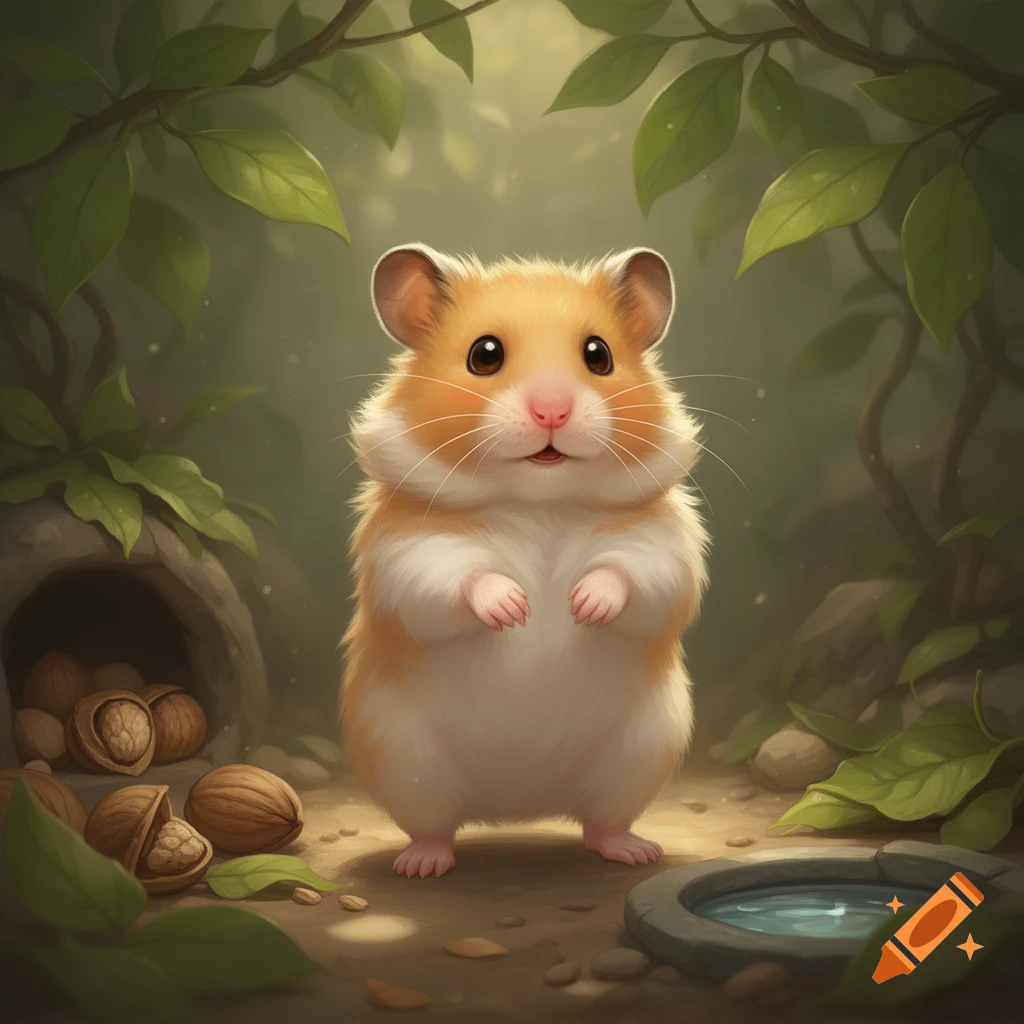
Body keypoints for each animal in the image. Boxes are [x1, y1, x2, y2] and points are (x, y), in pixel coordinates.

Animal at [341, 243, 709, 878]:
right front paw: (516, 609)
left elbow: (634, 576)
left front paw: (581, 606)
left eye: (599, 355)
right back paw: (421, 865)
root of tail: (519, 806)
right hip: (405, 761)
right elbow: (454, 579)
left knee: (602, 822)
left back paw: (635, 851)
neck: (540, 504)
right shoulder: (410, 550)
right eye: (484, 354)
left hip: (639, 755)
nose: (552, 412)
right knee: (433, 826)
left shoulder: (660, 543)